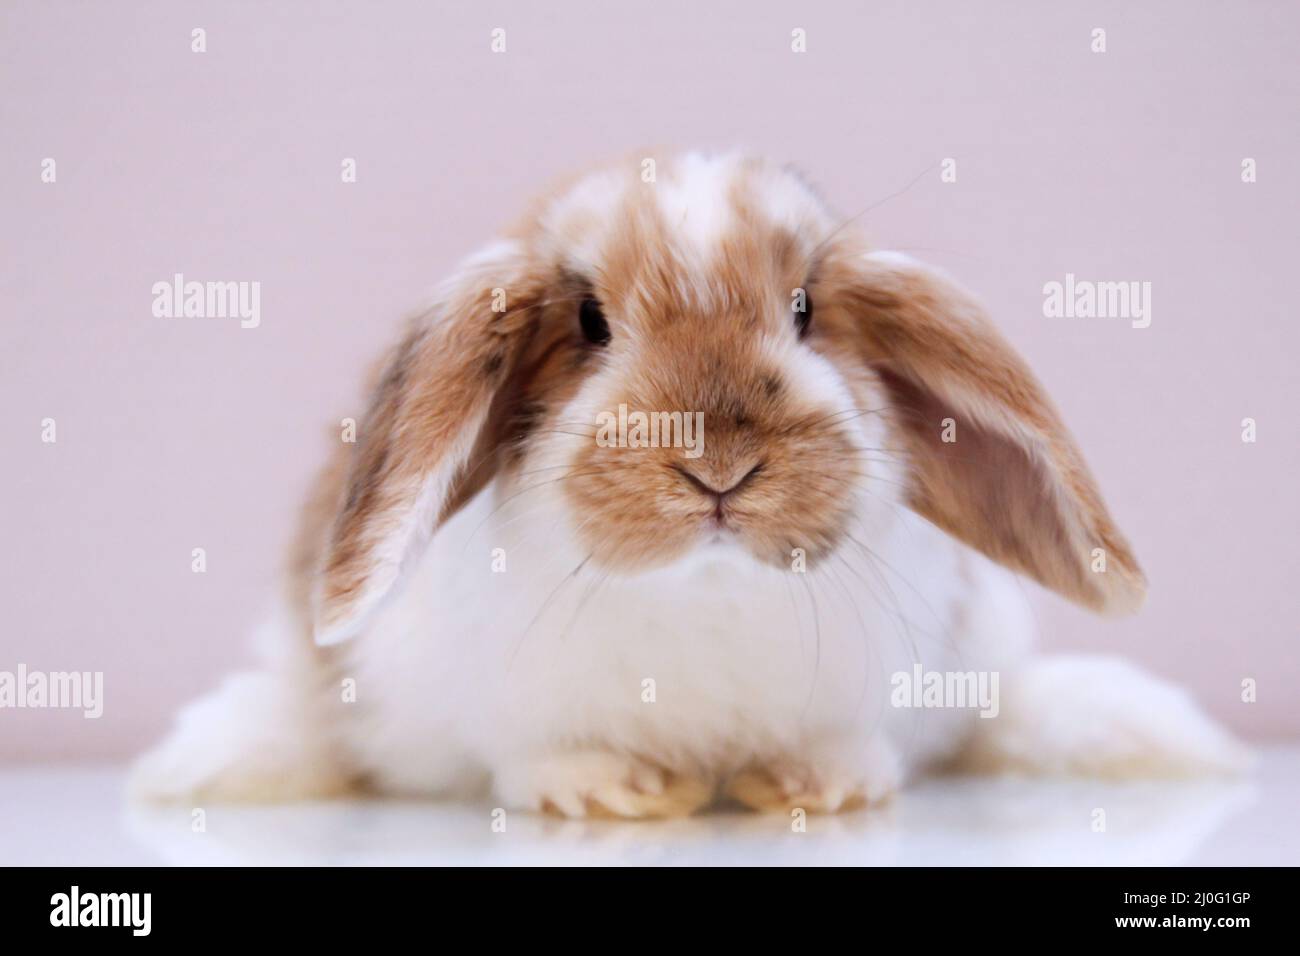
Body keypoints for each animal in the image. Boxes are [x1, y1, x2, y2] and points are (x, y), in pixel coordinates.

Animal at [131, 152, 1246, 817]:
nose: (718, 464)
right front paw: (609, 792)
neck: (704, 587)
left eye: (803, 310)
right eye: (588, 321)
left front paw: (818, 785)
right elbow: (533, 756)